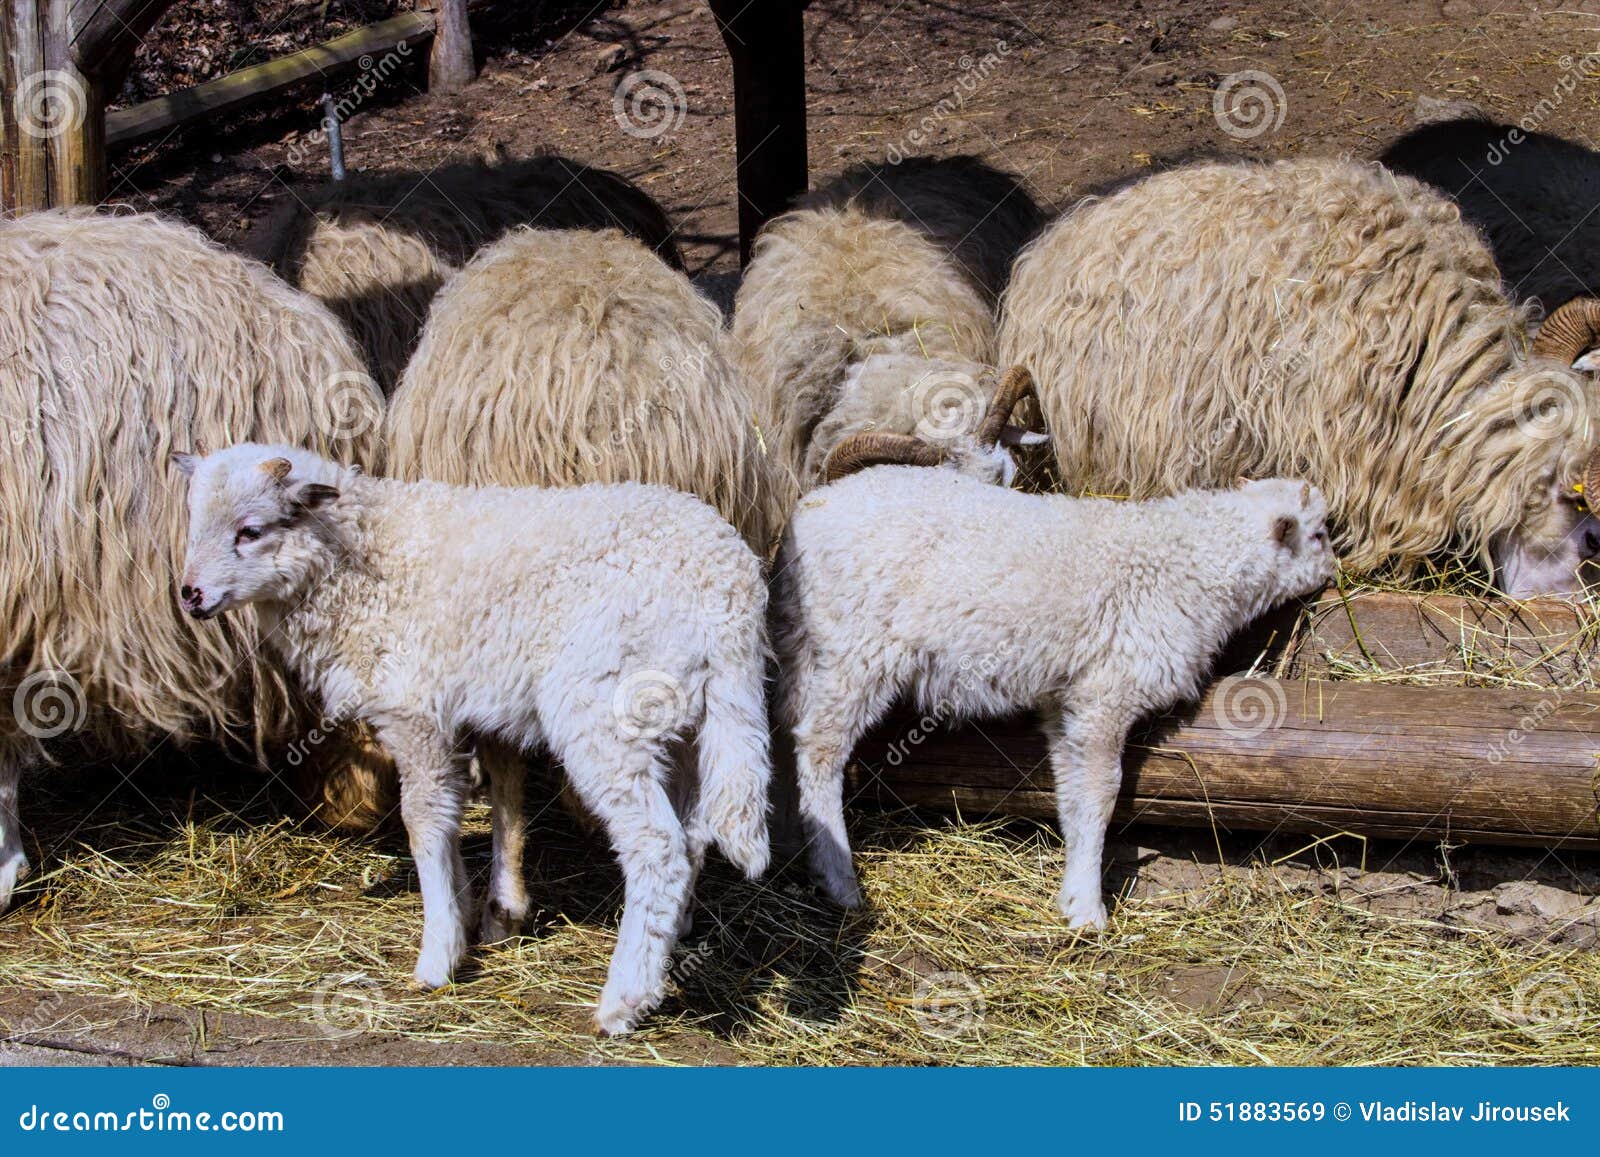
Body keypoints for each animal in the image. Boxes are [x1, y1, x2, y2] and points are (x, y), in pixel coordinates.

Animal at [174, 443, 772, 1035]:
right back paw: (672, 937)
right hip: (686, 720)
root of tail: (730, 594)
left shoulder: (414, 710)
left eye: (251, 530)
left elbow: (424, 819)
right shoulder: (463, 712)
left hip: (608, 707)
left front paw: (438, 955)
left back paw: (623, 1001)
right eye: (192, 523)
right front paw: (474, 916)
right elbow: (472, 808)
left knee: (657, 845)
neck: (359, 556)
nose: (190, 595)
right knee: (693, 834)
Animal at [772, 469, 1334, 920]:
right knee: (819, 747)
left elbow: (1072, 791)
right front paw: (1088, 908)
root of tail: (807, 511)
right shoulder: (1106, 693)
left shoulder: (1068, 703)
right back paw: (838, 878)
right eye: (1320, 533)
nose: (1333, 575)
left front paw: (1073, 885)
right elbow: (1102, 792)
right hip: (858, 648)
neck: (1189, 564)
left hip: (810, 643)